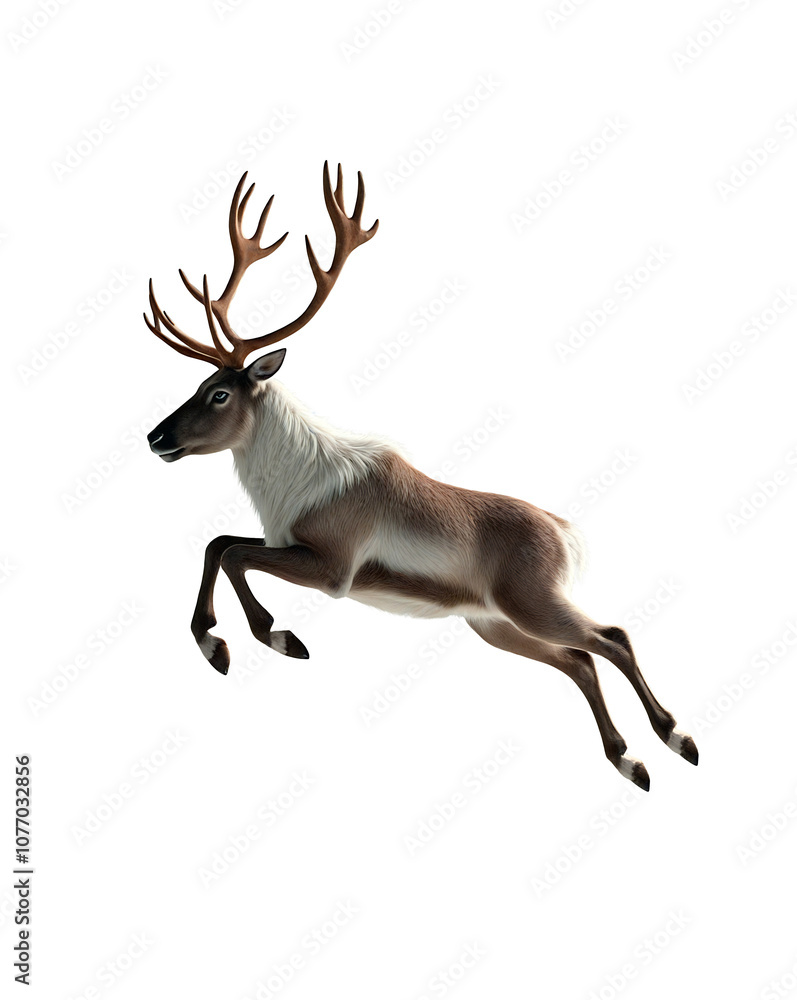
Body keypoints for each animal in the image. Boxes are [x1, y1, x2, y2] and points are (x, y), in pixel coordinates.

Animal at [143, 162, 698, 790]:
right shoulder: (286, 542)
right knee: (579, 661)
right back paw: (629, 760)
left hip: (532, 601)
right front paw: (216, 643)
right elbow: (218, 543)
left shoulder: (334, 568)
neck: (298, 483)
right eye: (195, 385)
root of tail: (564, 532)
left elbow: (235, 553)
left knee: (612, 639)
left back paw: (679, 740)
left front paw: (275, 638)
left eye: (218, 393)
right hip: (494, 622)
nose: (155, 438)